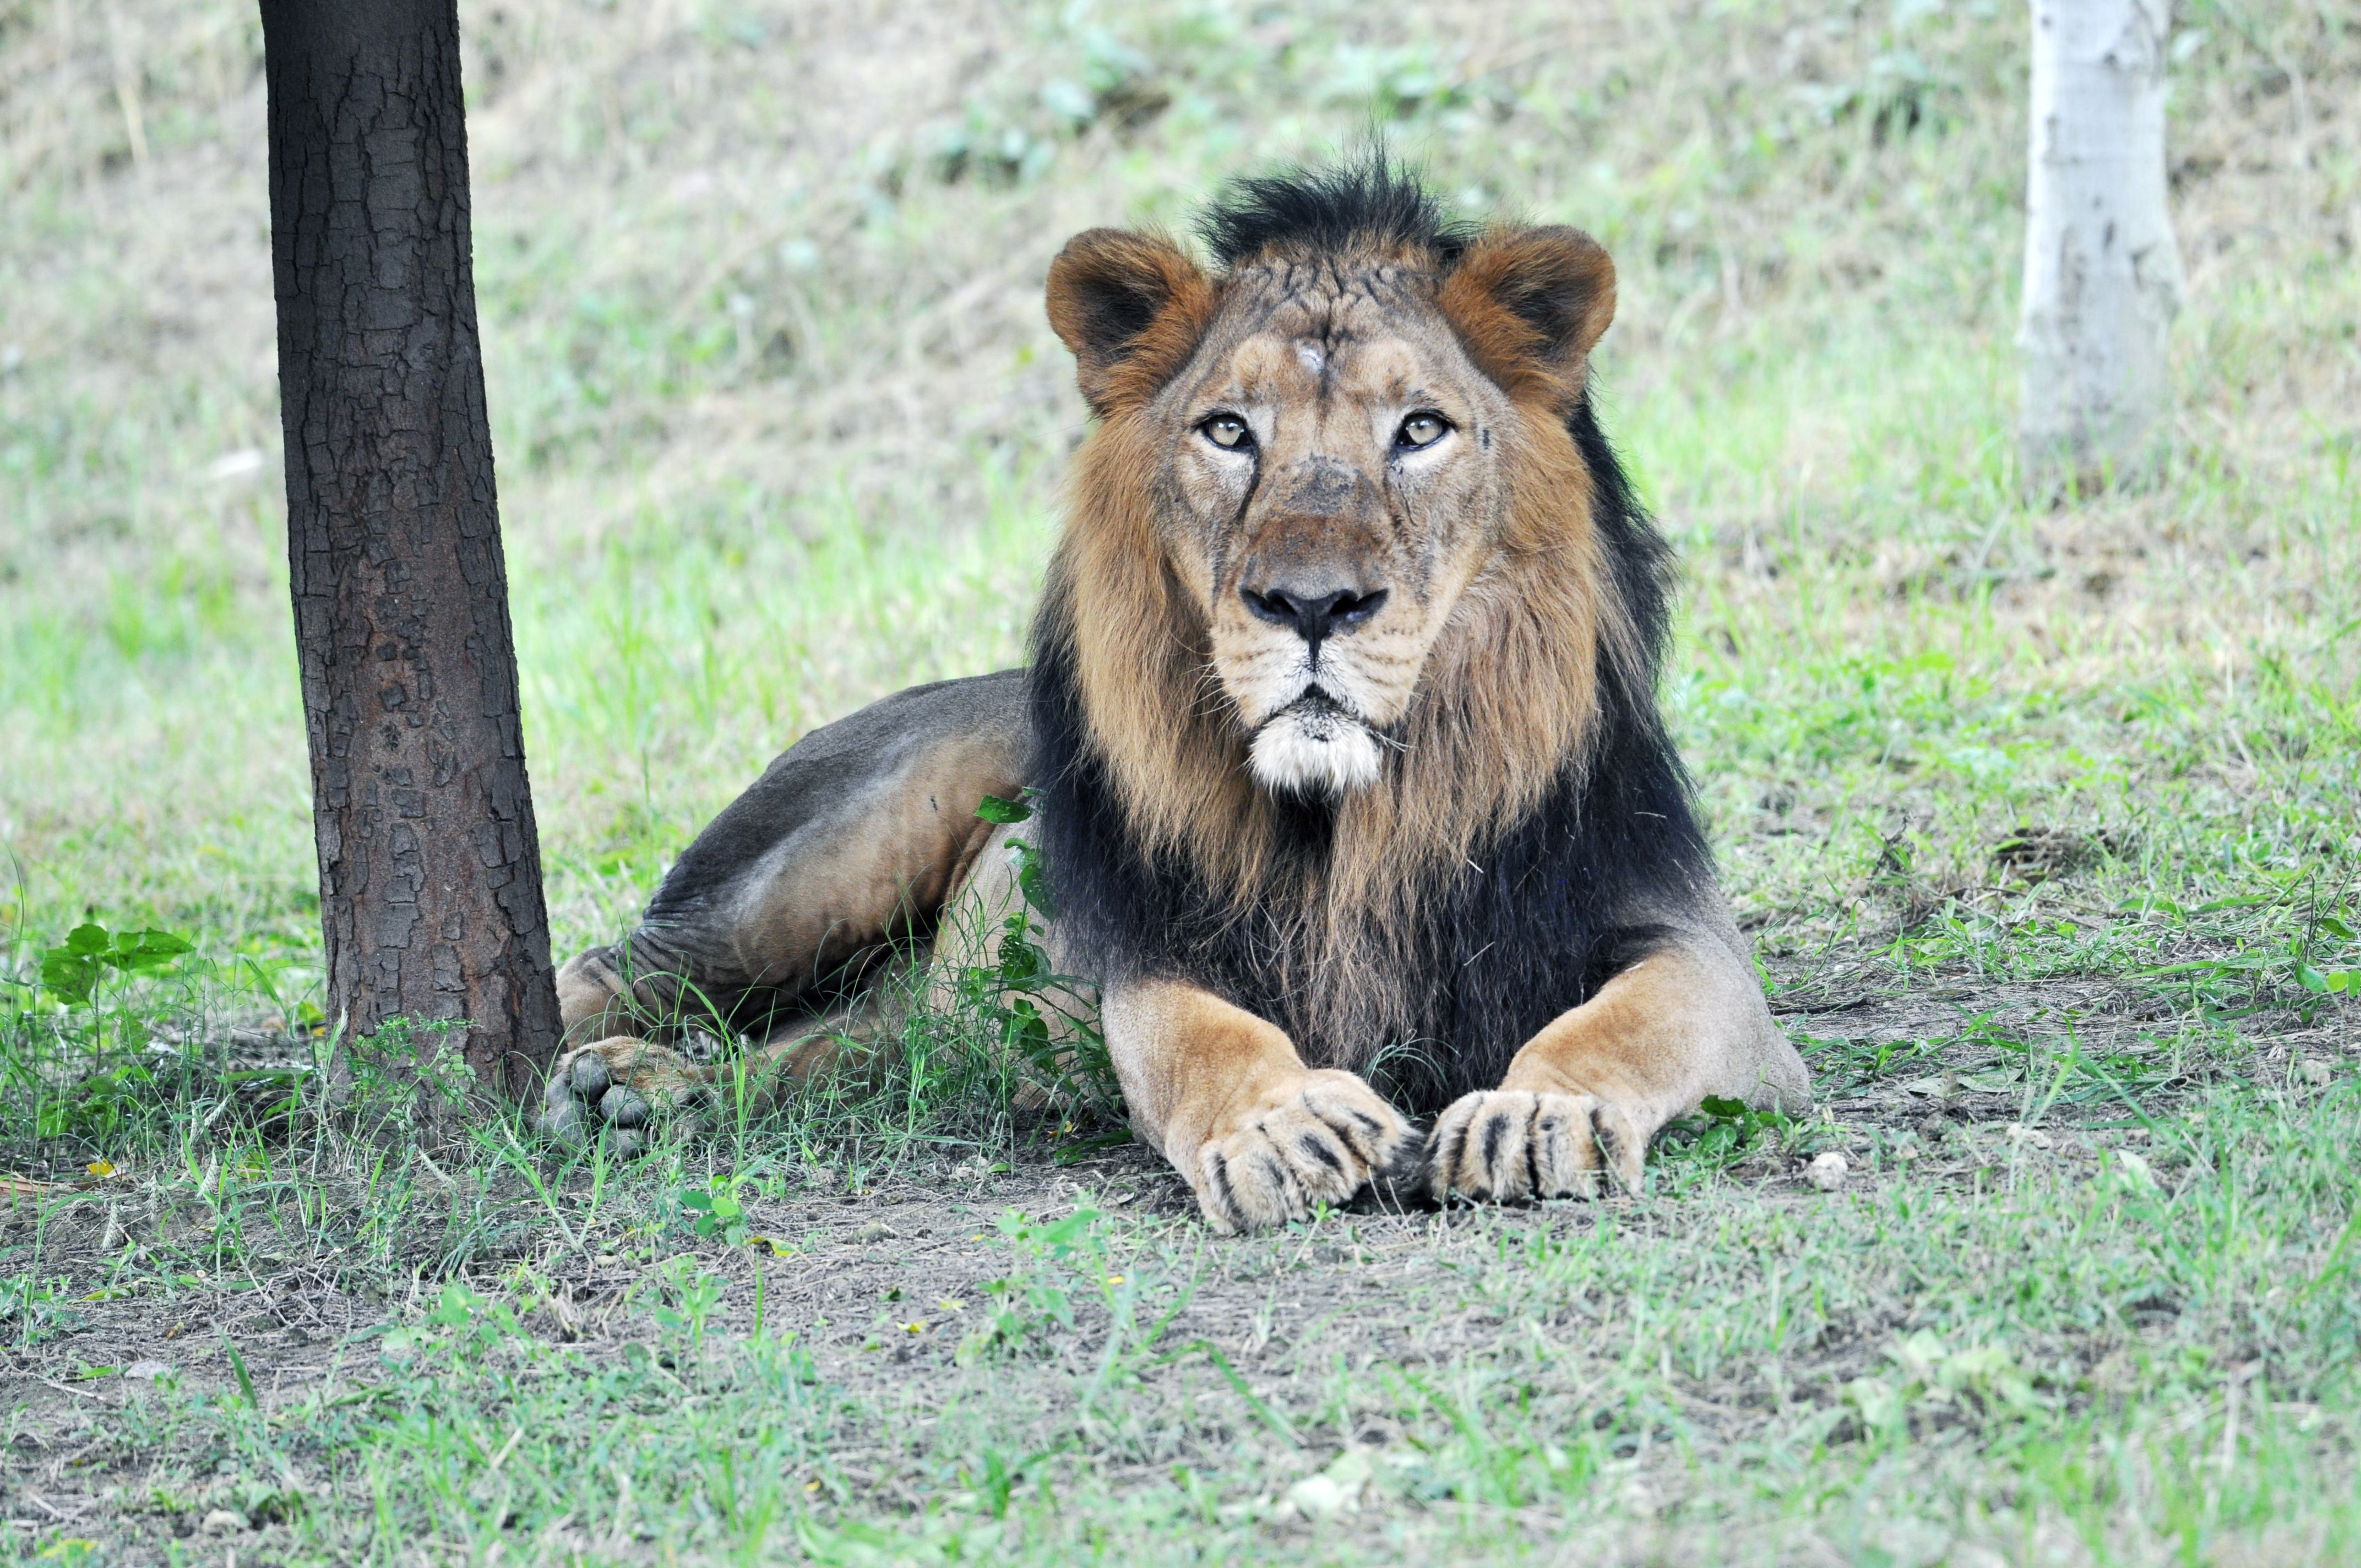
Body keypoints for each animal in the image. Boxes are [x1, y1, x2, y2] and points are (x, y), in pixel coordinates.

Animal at [538, 159, 1811, 1231]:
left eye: (1420, 429)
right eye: (1228, 431)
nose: (1311, 603)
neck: (1350, 819)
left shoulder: (1686, 939)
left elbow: (1630, 1018)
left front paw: (1535, 1112)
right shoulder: (1158, 947)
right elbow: (1195, 1037)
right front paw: (1283, 1124)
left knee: (848, 1051)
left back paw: (653, 1094)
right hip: (811, 872)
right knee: (613, 966)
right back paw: (568, 1076)